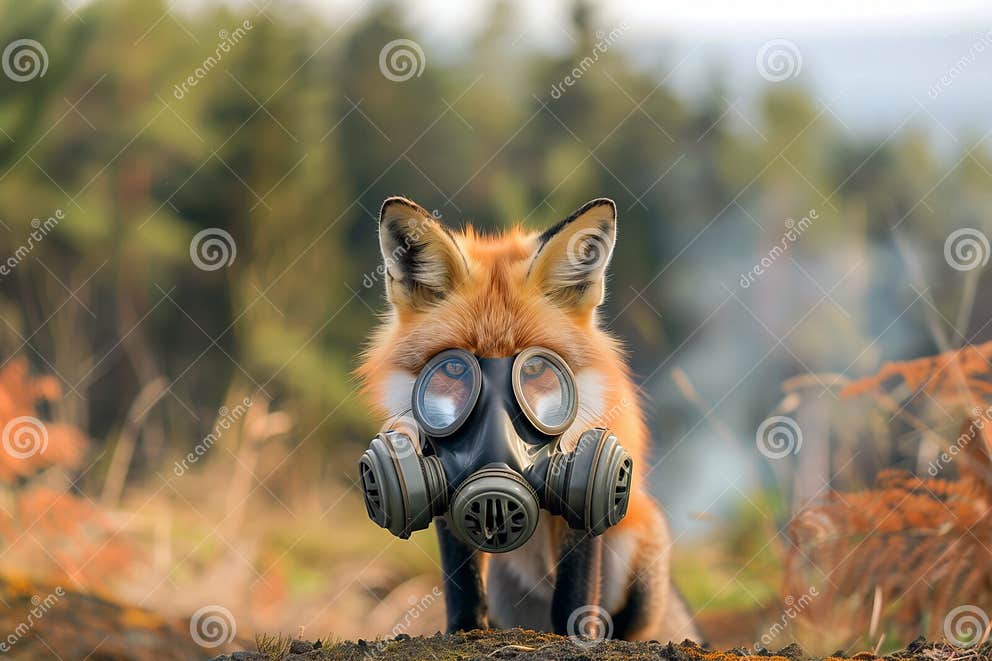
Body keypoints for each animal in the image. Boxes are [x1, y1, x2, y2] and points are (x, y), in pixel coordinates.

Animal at [357, 195, 698, 642]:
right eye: (455, 369)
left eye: (535, 369)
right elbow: (463, 583)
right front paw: (464, 631)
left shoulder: (583, 480)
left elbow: (575, 587)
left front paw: (576, 638)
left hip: (640, 538)